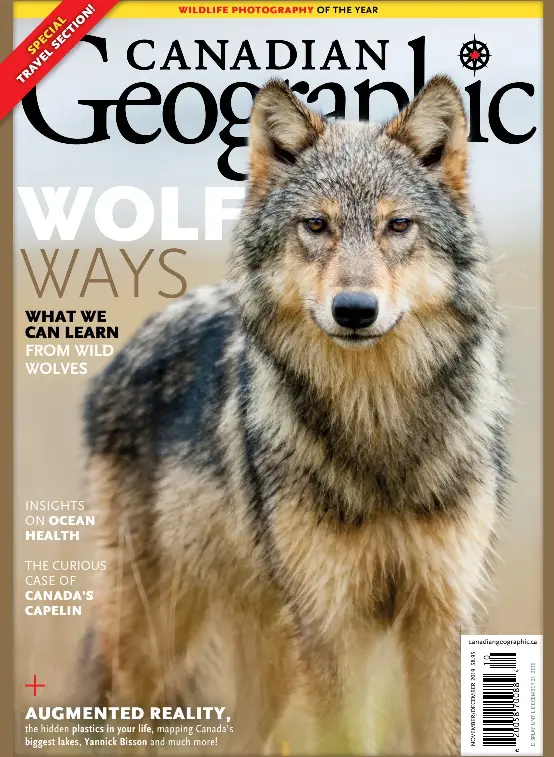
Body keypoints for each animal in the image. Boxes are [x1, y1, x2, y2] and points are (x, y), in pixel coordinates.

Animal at [79, 75, 509, 755]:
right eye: (317, 225)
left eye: (398, 225)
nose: (354, 309)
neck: (377, 430)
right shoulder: (329, 623)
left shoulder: (439, 614)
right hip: (156, 639)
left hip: (270, 656)